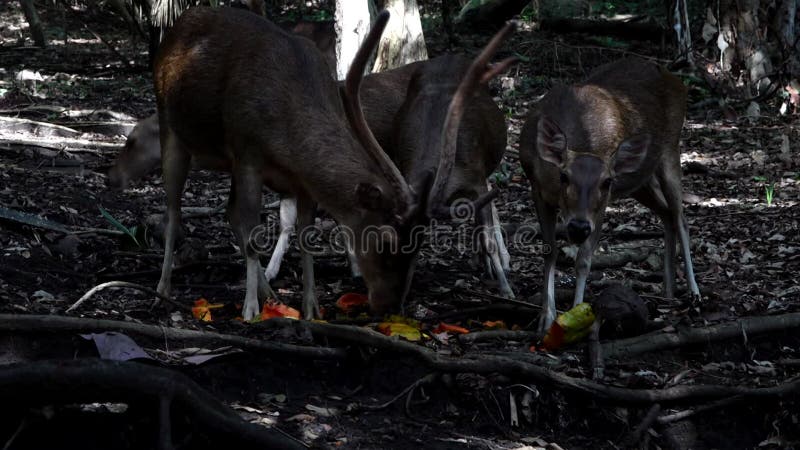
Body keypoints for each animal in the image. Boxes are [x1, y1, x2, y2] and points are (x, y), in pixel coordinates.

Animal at [153, 6, 515, 320]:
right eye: (384, 240)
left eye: (419, 245)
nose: (390, 307)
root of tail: (177, 24)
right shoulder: (246, 153)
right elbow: (255, 235)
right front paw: (250, 309)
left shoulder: (300, 179)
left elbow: (306, 237)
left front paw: (311, 309)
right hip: (168, 124)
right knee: (173, 211)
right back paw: (164, 288)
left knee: (227, 211)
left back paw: (271, 293)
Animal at [518, 58, 701, 333]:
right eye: (564, 176)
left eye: (606, 182)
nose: (579, 227)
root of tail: (677, 79)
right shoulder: (536, 188)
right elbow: (549, 250)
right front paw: (545, 318)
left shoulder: (602, 205)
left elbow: (583, 260)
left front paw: (575, 315)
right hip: (641, 181)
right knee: (667, 214)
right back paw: (668, 292)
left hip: (671, 149)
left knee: (681, 217)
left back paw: (694, 293)